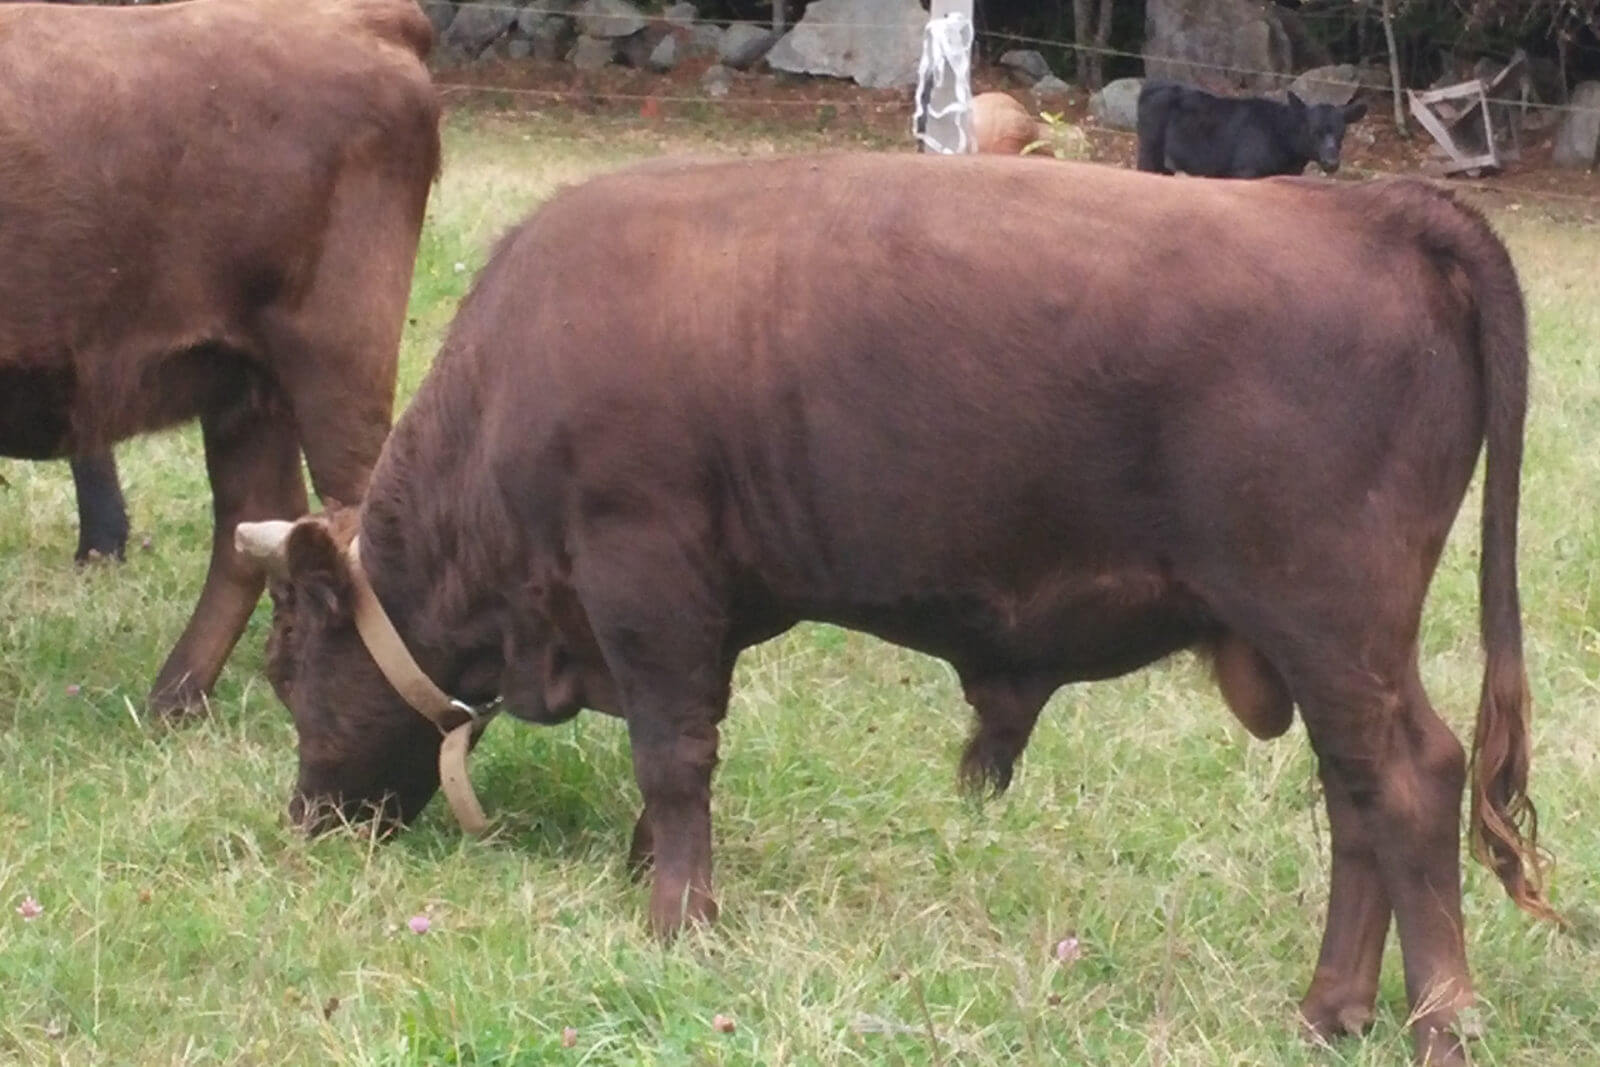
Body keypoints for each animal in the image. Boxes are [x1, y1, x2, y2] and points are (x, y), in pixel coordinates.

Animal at [237, 154, 1550, 1065]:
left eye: (285, 661)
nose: (306, 821)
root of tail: (1370, 209)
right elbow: (677, 757)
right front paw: (649, 872)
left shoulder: (643, 571)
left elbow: (671, 754)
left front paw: (675, 921)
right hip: (1327, 645)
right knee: (1358, 796)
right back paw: (1330, 1006)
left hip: (1330, 618)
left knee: (1409, 780)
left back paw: (1438, 1021)